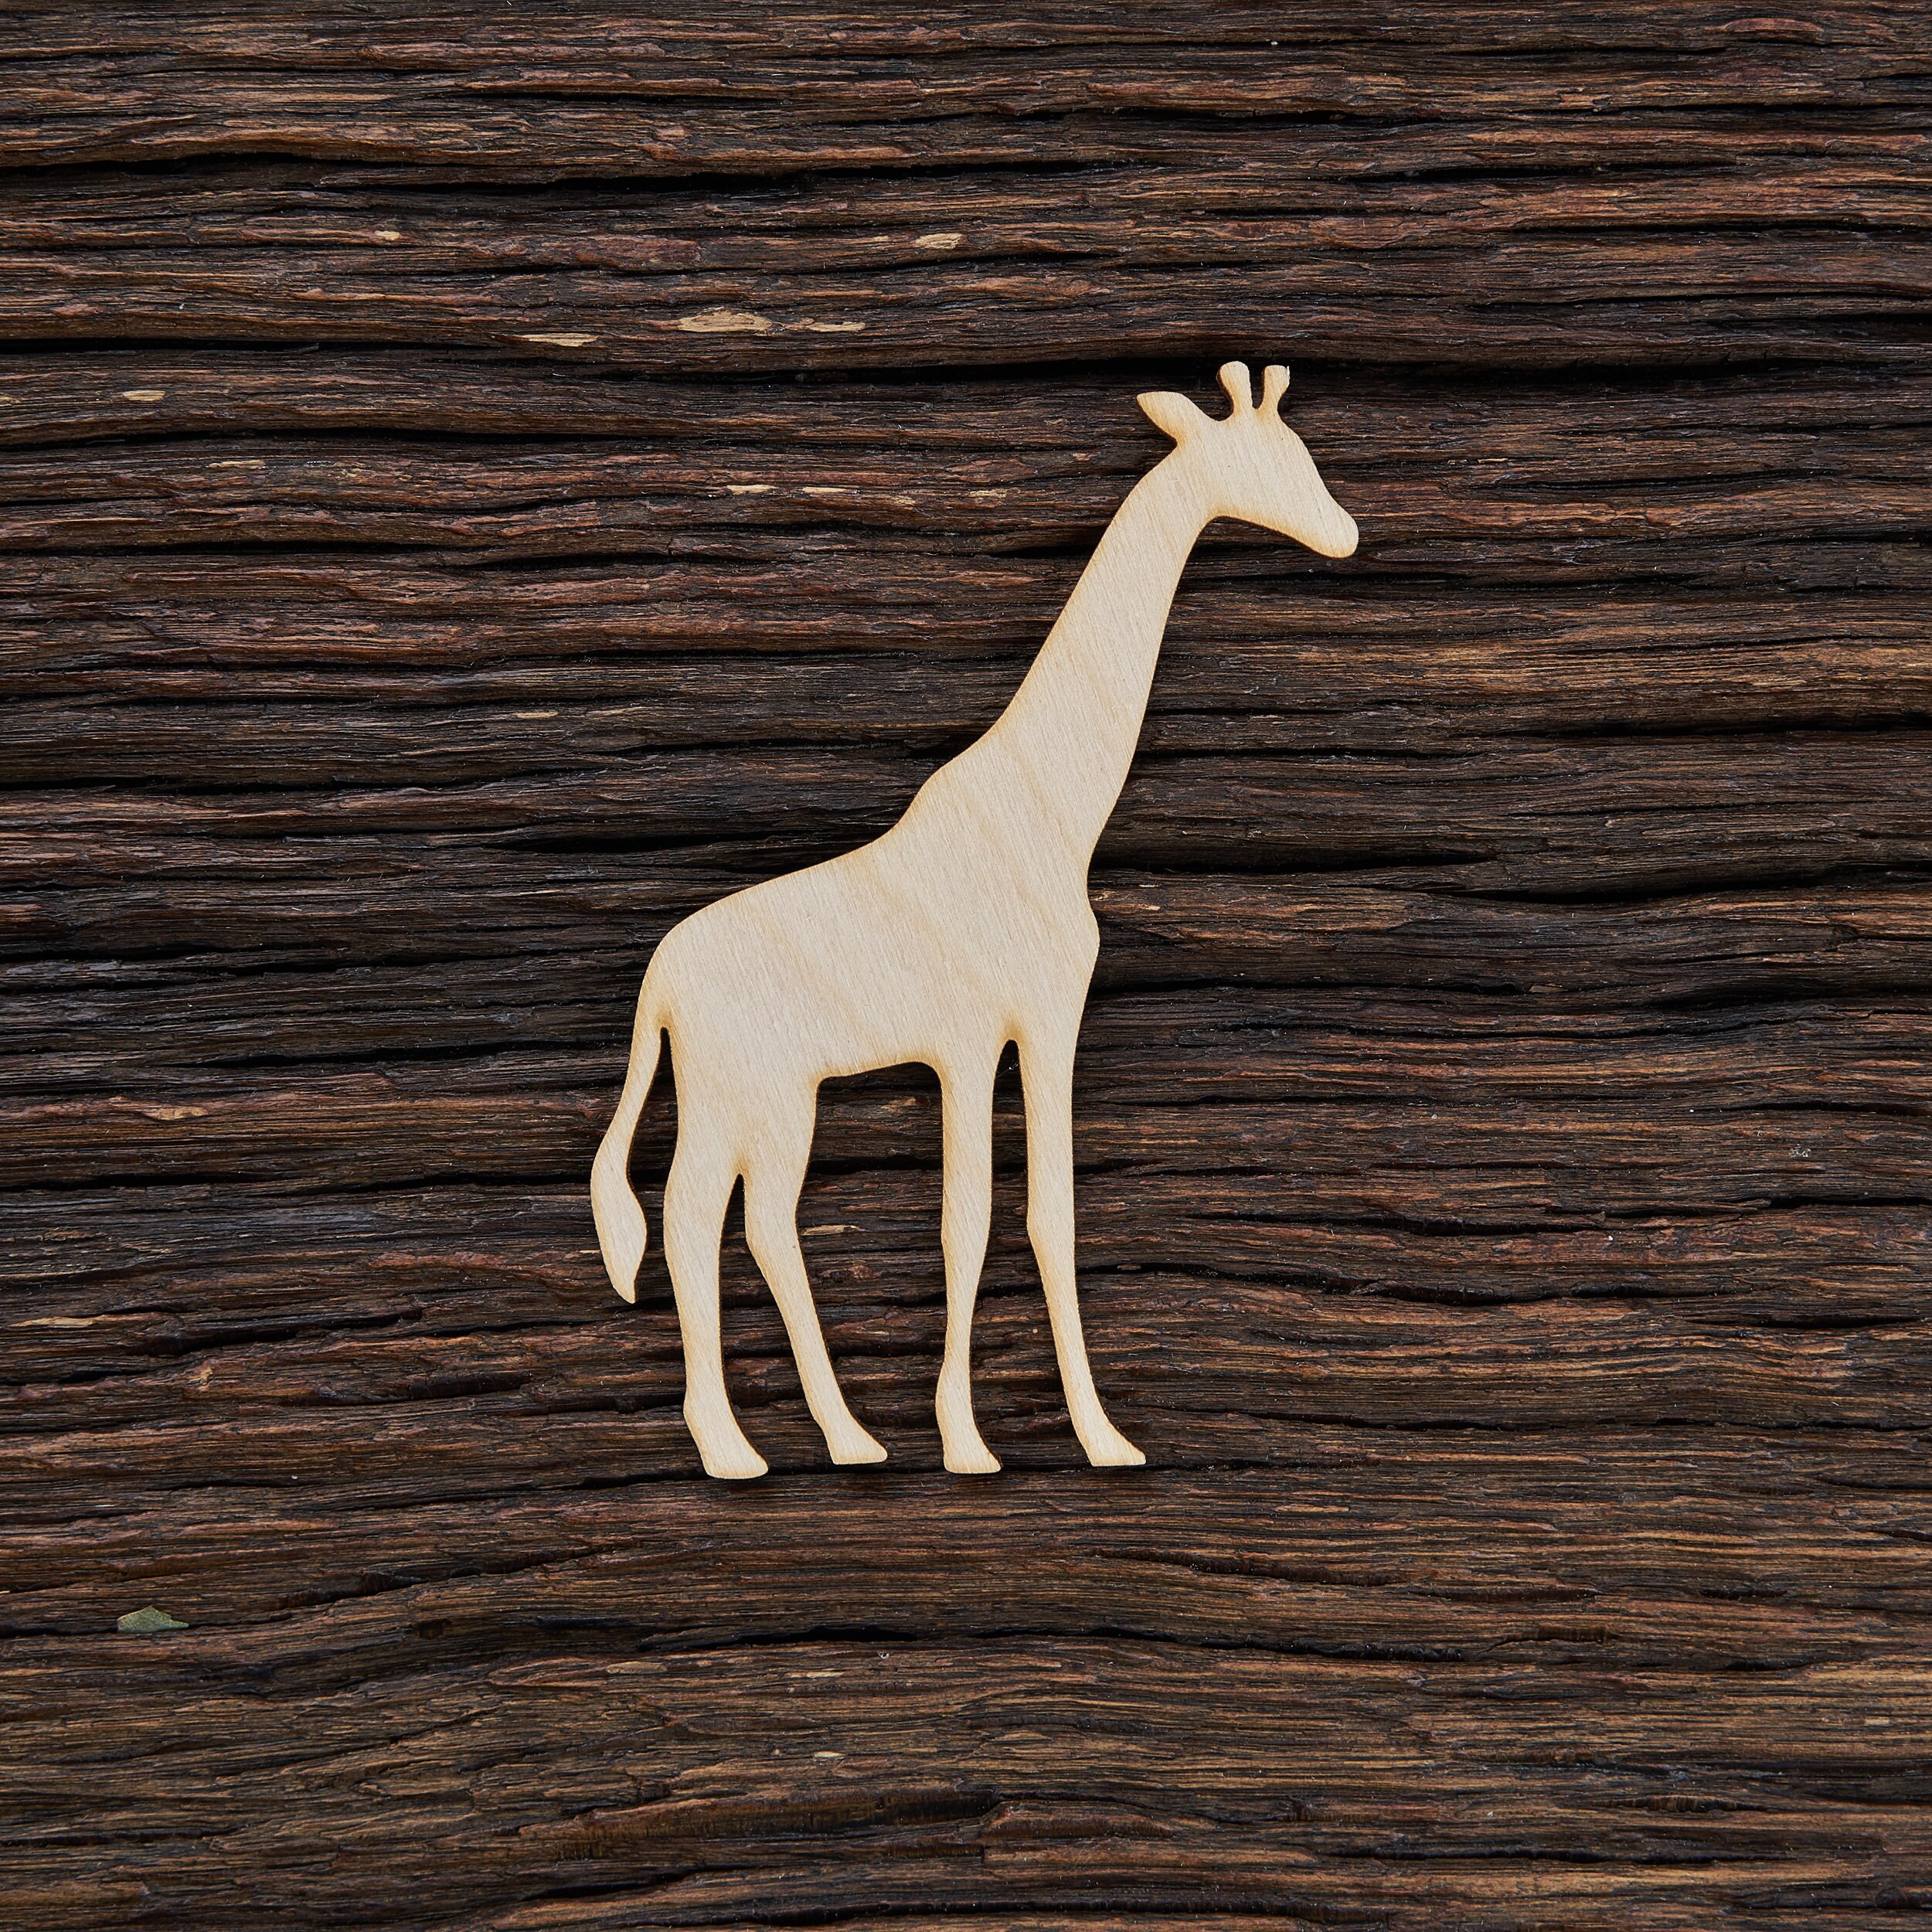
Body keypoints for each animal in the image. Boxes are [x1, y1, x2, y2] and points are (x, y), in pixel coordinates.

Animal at [592, 361, 1358, 1479]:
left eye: (1305, 455)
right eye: (1277, 463)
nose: (1345, 534)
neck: (1055, 812)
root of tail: (656, 987)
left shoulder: (1021, 1027)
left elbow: (1039, 1212)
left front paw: (1082, 1434)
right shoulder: (984, 1034)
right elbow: (987, 1218)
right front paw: (982, 1439)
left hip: (768, 1098)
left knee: (746, 1222)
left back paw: (837, 1437)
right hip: (748, 1090)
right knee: (698, 1218)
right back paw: (738, 1449)